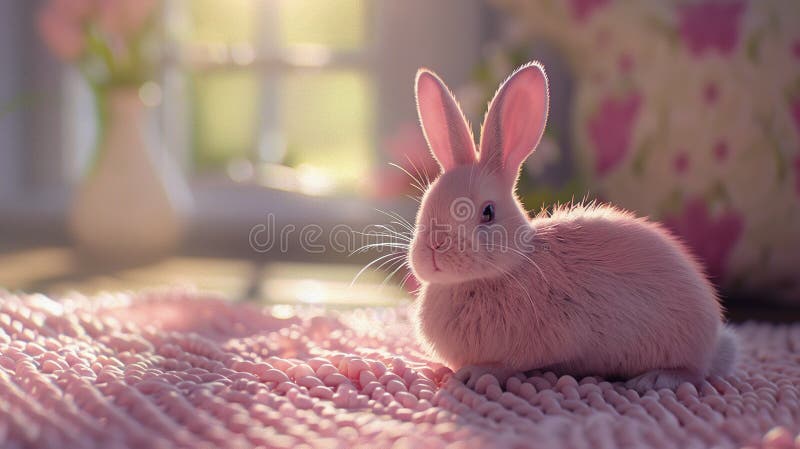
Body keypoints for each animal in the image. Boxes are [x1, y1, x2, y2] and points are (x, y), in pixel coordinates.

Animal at [407, 61, 738, 392]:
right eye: (425, 202)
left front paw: (474, 374)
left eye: (487, 212)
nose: (434, 247)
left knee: (694, 373)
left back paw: (656, 378)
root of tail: (716, 342)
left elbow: (505, 366)